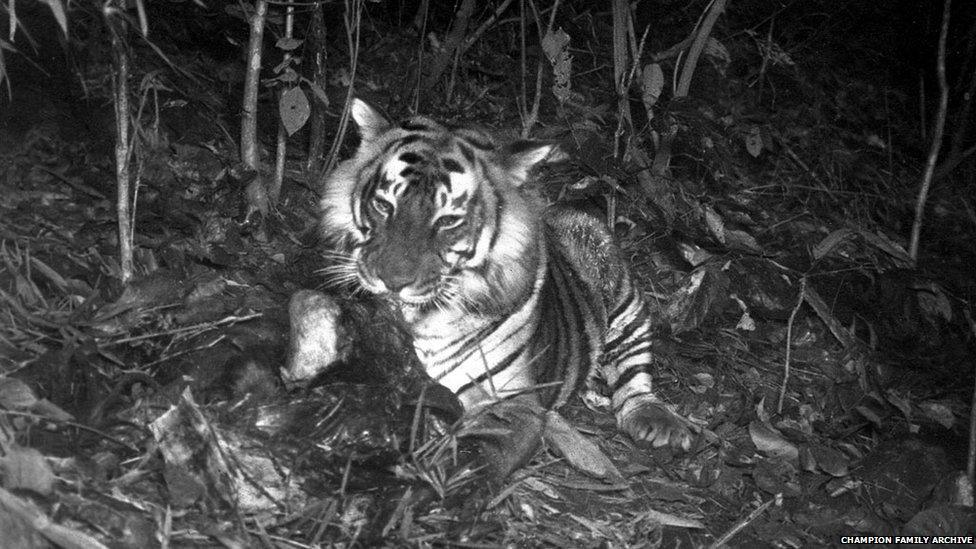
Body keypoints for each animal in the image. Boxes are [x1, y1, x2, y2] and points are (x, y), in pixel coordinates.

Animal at [319, 98, 692, 455]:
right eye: (384, 205)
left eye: (448, 221)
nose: (392, 281)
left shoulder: (513, 404)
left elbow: (476, 456)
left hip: (622, 296)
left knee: (634, 372)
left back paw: (658, 423)